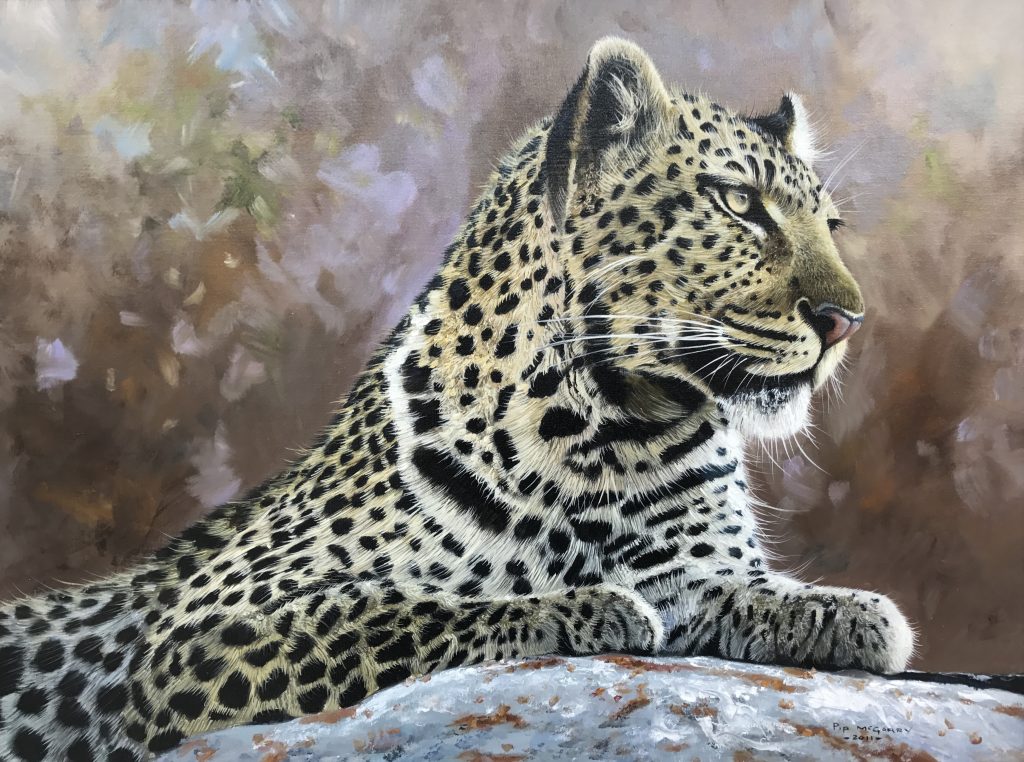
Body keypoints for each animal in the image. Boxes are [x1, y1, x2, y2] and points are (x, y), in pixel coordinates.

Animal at [0, 38, 914, 760]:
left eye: (830, 225)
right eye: (739, 204)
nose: (847, 320)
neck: (611, 435)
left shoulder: (692, 569)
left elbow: (737, 592)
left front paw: (855, 614)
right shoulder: (200, 635)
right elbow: (407, 612)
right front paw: (589, 608)